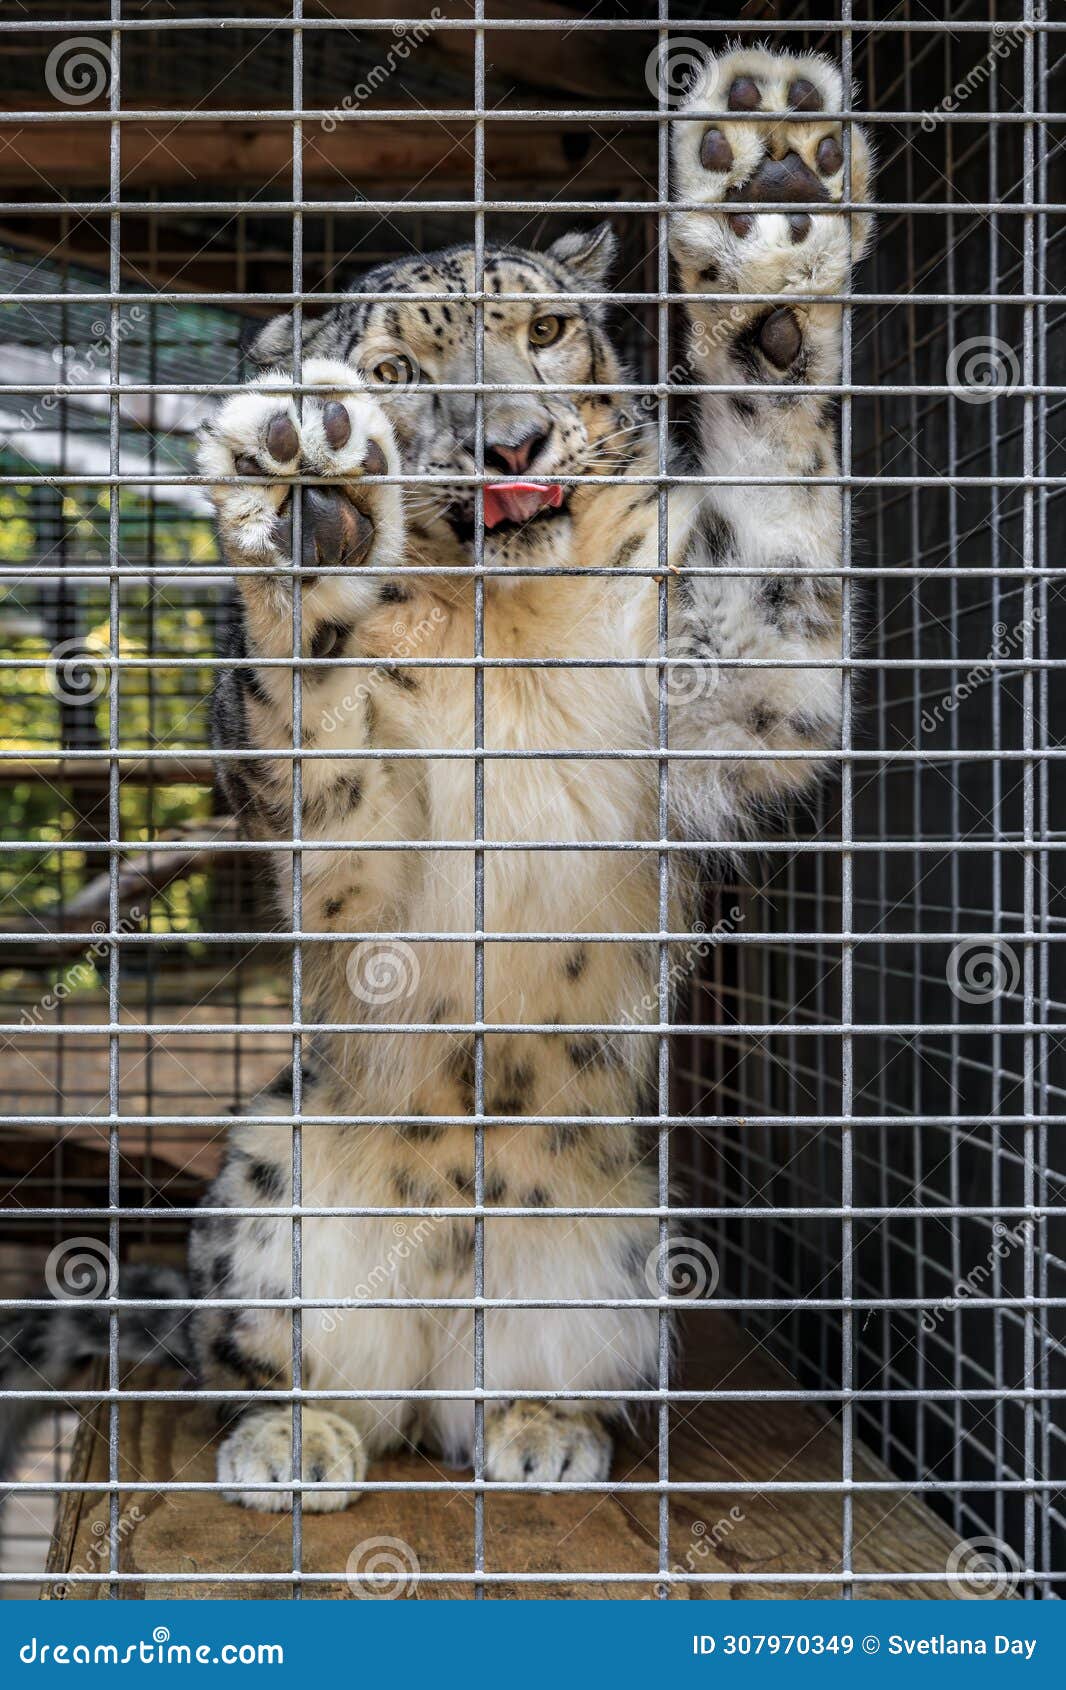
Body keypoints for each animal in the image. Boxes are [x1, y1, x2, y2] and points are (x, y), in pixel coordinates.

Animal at [1, 48, 873, 1512]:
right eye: (399, 369)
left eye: (548, 332)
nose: (513, 444)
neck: (501, 619)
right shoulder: (355, 842)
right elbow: (312, 729)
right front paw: (304, 490)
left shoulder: (740, 689)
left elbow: (779, 537)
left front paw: (768, 228)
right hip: (266, 1175)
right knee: (277, 1361)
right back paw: (294, 1442)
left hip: (627, 1234)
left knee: (504, 1390)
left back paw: (539, 1427)